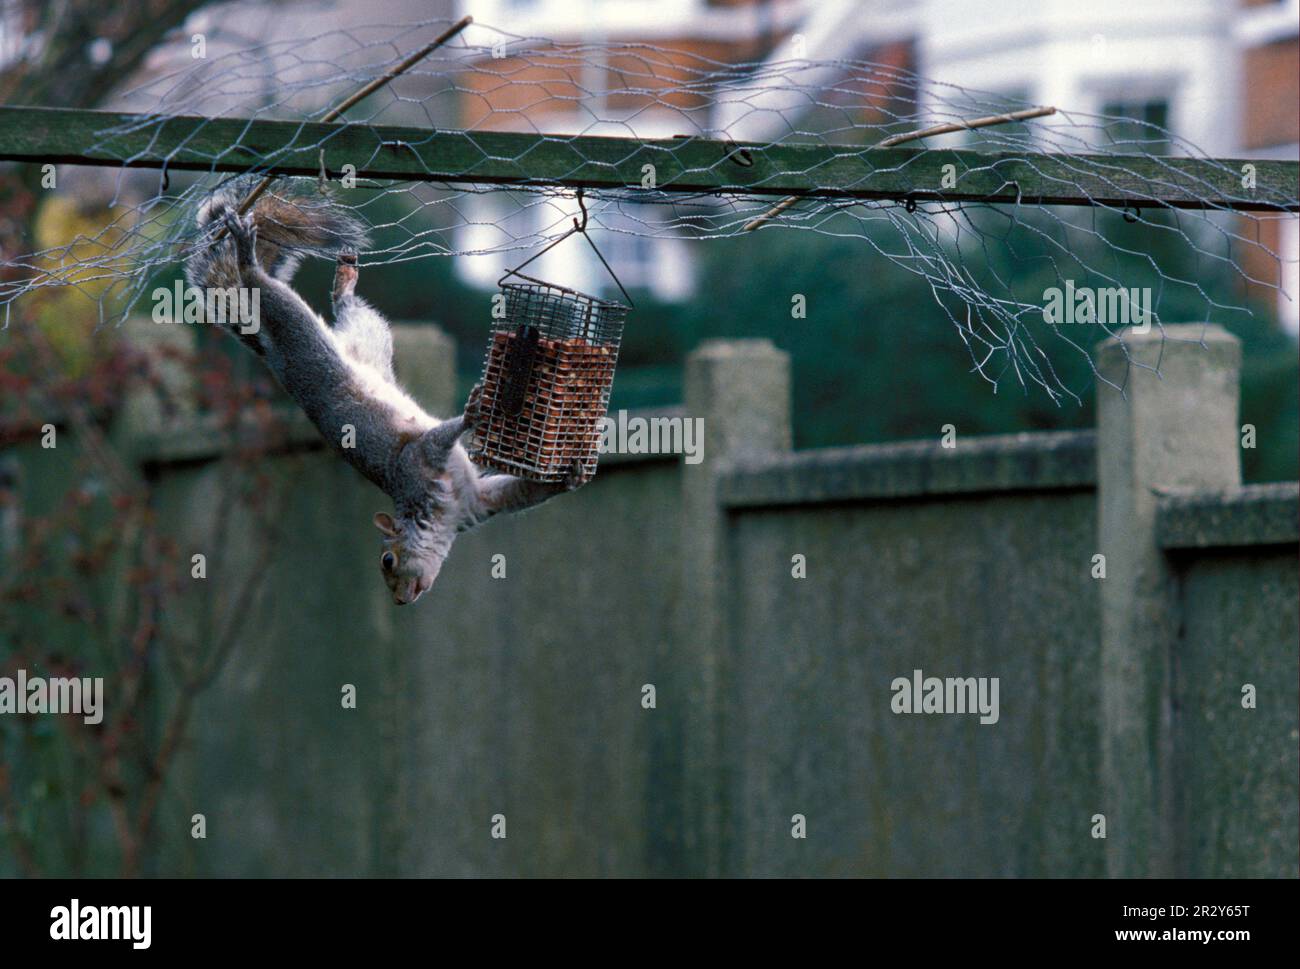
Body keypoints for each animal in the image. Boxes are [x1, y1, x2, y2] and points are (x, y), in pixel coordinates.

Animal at [185, 178, 587, 605]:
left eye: (388, 561)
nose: (401, 600)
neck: (439, 517)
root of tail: (269, 348)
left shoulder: (439, 478)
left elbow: (462, 459)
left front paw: (558, 467)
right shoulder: (462, 496)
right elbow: (502, 487)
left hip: (314, 337)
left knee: (285, 294)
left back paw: (263, 261)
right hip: (348, 339)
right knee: (334, 305)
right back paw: (321, 279)